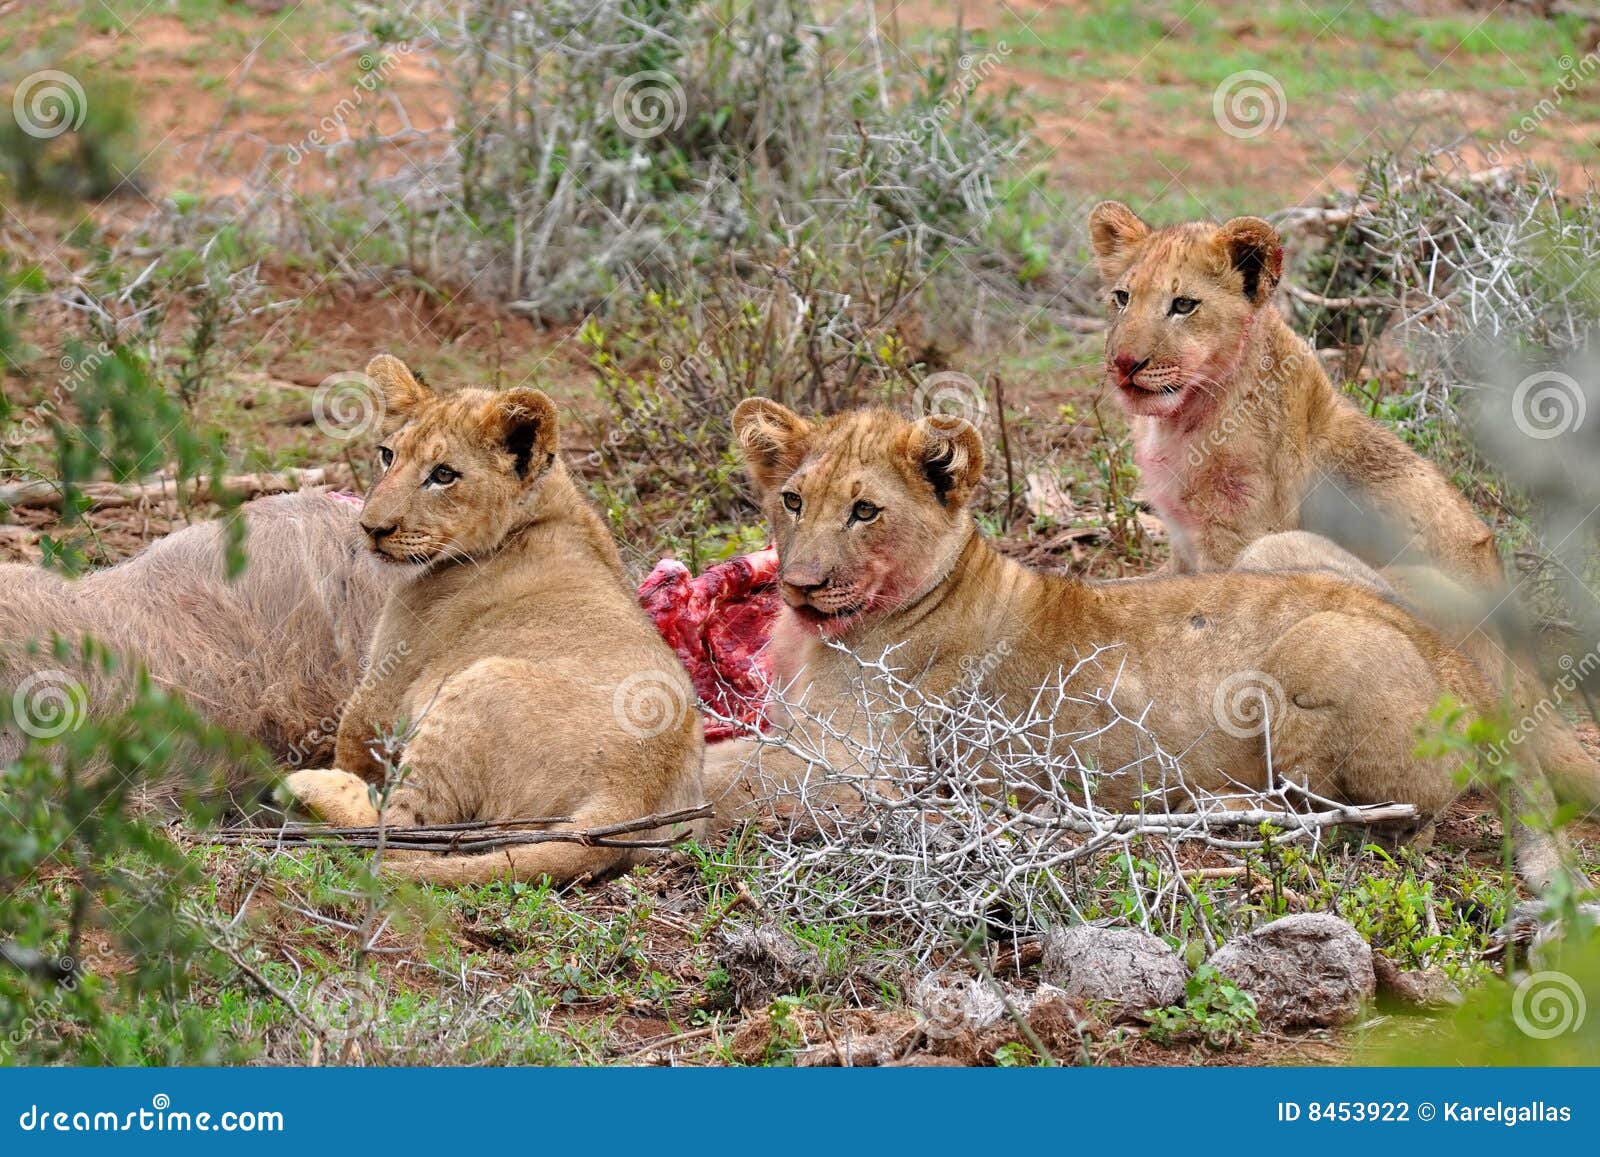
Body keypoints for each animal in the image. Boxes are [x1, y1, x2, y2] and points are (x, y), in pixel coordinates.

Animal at [284, 355, 705, 887]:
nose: (371, 528)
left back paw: (310, 788)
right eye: (387, 455)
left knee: (404, 834)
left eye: (444, 474)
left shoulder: (389, 676)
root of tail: (632, 792)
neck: (543, 509)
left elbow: (355, 734)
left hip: (478, 684)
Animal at [703, 401, 1588, 885]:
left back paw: (1217, 812)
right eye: (793, 499)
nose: (801, 583)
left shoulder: (860, 773)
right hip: (1276, 550)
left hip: (1319, 647)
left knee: (1375, 823)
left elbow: (725, 781)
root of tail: (1470, 669)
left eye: (865, 511)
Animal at [1086, 200, 1599, 807]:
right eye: (1122, 298)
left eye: (1183, 305)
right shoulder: (1182, 544)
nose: (1124, 363)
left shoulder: (1236, 538)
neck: (1182, 419)